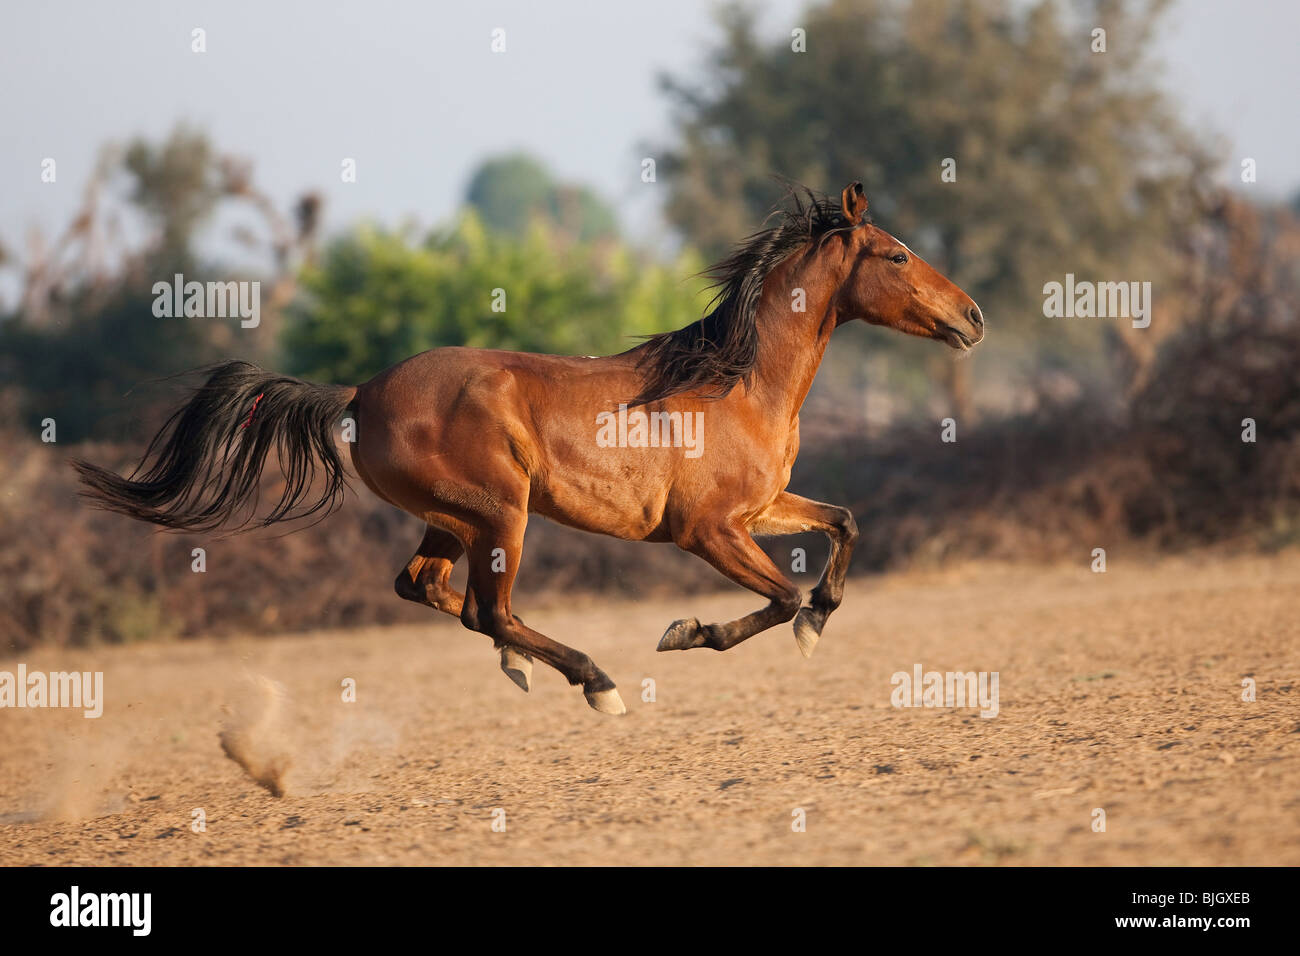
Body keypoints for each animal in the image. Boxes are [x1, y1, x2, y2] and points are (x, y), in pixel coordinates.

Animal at [73, 181, 984, 715]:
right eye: (897, 253)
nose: (972, 317)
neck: (738, 381)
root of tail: (359, 393)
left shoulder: (760, 509)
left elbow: (844, 523)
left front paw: (821, 620)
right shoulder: (707, 530)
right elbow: (782, 597)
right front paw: (690, 632)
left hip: (456, 519)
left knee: (426, 588)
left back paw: (524, 666)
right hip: (500, 515)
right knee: (486, 606)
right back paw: (594, 682)